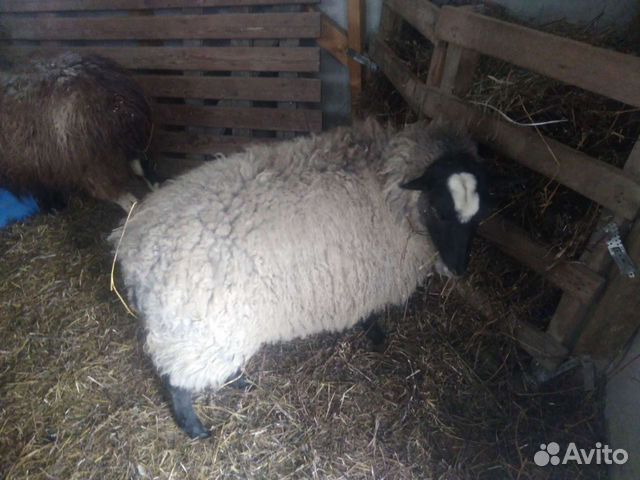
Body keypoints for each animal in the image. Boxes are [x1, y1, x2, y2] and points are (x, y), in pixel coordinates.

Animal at [110, 118, 490, 438]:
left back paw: (239, 382)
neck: (389, 190)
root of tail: (133, 245)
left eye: (479, 216)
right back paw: (196, 427)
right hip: (193, 333)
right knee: (176, 382)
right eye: (439, 209)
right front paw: (376, 334)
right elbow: (370, 315)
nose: (458, 268)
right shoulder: (372, 278)